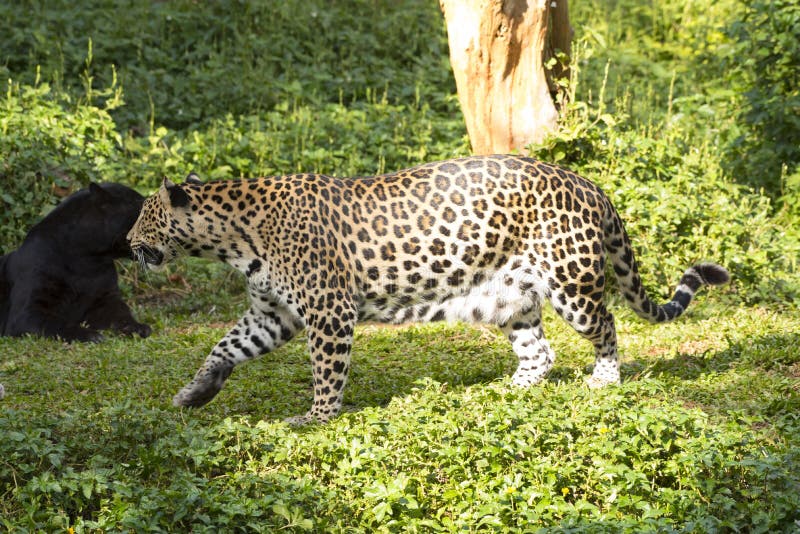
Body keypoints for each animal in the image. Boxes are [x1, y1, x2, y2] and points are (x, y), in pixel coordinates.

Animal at [127, 155, 729, 424]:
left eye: (145, 217)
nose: (128, 243)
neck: (230, 239)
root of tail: (591, 185)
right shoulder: (274, 313)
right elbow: (224, 347)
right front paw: (194, 393)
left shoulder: (328, 312)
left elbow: (326, 373)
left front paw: (316, 419)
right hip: (508, 295)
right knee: (540, 351)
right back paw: (502, 393)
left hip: (571, 282)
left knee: (605, 325)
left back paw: (603, 378)